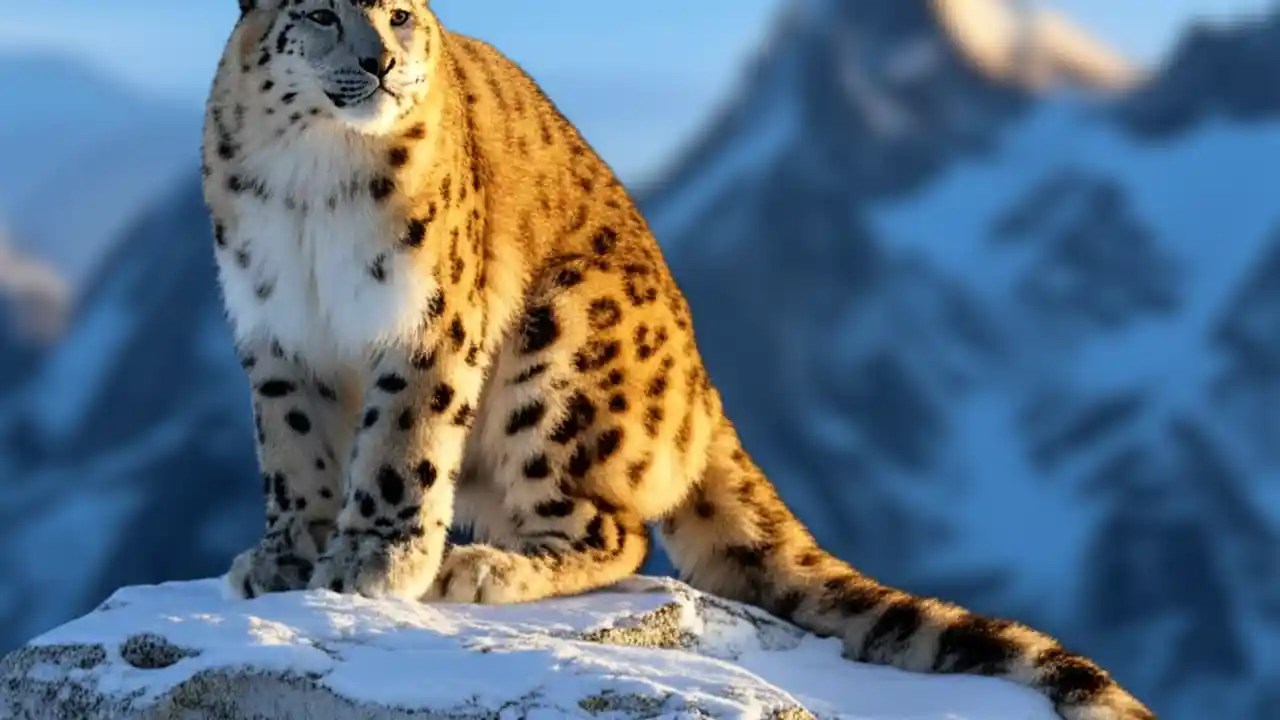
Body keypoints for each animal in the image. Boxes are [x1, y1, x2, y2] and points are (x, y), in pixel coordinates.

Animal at [202, 2, 1155, 718]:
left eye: (400, 13)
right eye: (321, 13)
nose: (383, 64)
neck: (312, 181)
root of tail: (703, 390)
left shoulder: (429, 315)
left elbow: (404, 437)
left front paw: (377, 557)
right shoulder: (275, 327)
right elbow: (292, 448)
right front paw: (288, 554)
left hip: (562, 344)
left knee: (611, 532)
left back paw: (485, 567)